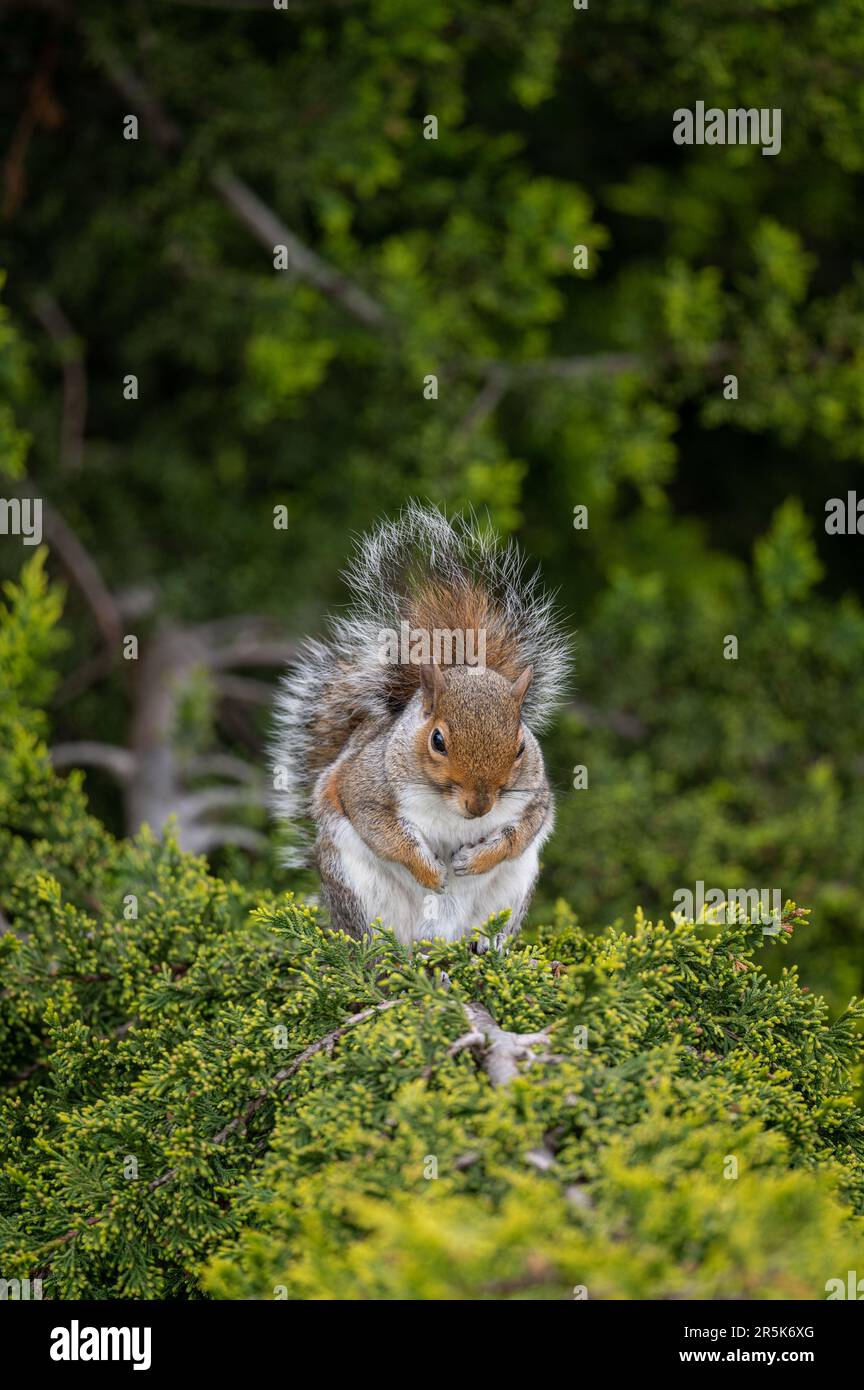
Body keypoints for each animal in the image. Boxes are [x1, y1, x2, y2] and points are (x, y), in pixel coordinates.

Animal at [272, 503, 570, 946]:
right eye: (438, 740)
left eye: (521, 747)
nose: (479, 806)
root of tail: (437, 940)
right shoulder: (365, 785)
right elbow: (384, 831)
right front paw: (430, 871)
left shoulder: (535, 796)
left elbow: (522, 832)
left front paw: (476, 859)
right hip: (356, 885)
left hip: (511, 893)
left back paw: (485, 947)